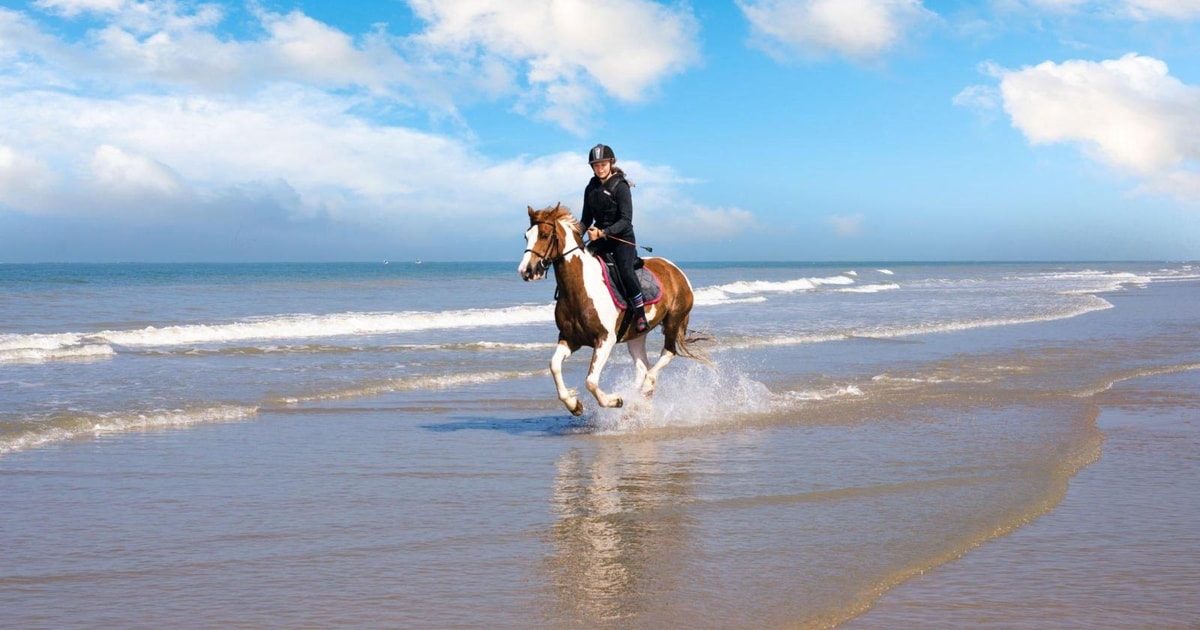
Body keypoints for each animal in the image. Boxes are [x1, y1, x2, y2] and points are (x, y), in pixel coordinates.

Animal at [518, 203, 707, 416]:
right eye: (526, 235)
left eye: (544, 234)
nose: (526, 271)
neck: (579, 288)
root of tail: (676, 270)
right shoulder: (570, 339)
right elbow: (554, 366)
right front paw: (574, 404)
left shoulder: (605, 339)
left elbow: (591, 381)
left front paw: (614, 400)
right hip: (637, 335)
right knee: (642, 366)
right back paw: (637, 403)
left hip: (673, 321)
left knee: (667, 353)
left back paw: (646, 388)